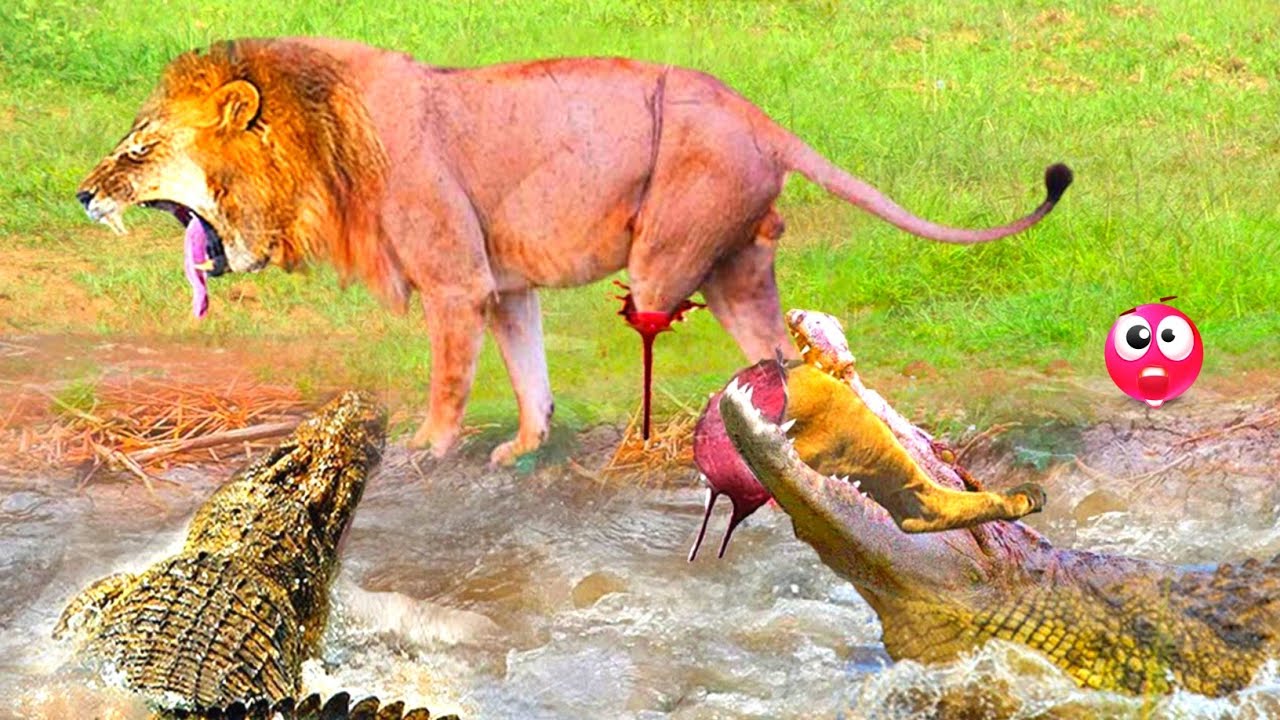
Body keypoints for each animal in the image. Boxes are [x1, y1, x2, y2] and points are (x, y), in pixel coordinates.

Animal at [76, 38, 1072, 465]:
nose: (82, 194)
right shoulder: (506, 284)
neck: (317, 155)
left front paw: (430, 450)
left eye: (138, 148)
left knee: (688, 332)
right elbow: (528, 370)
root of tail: (759, 114)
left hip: (670, 252)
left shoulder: (455, 281)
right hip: (738, 268)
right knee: (780, 358)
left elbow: (448, 376)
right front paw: (525, 446)